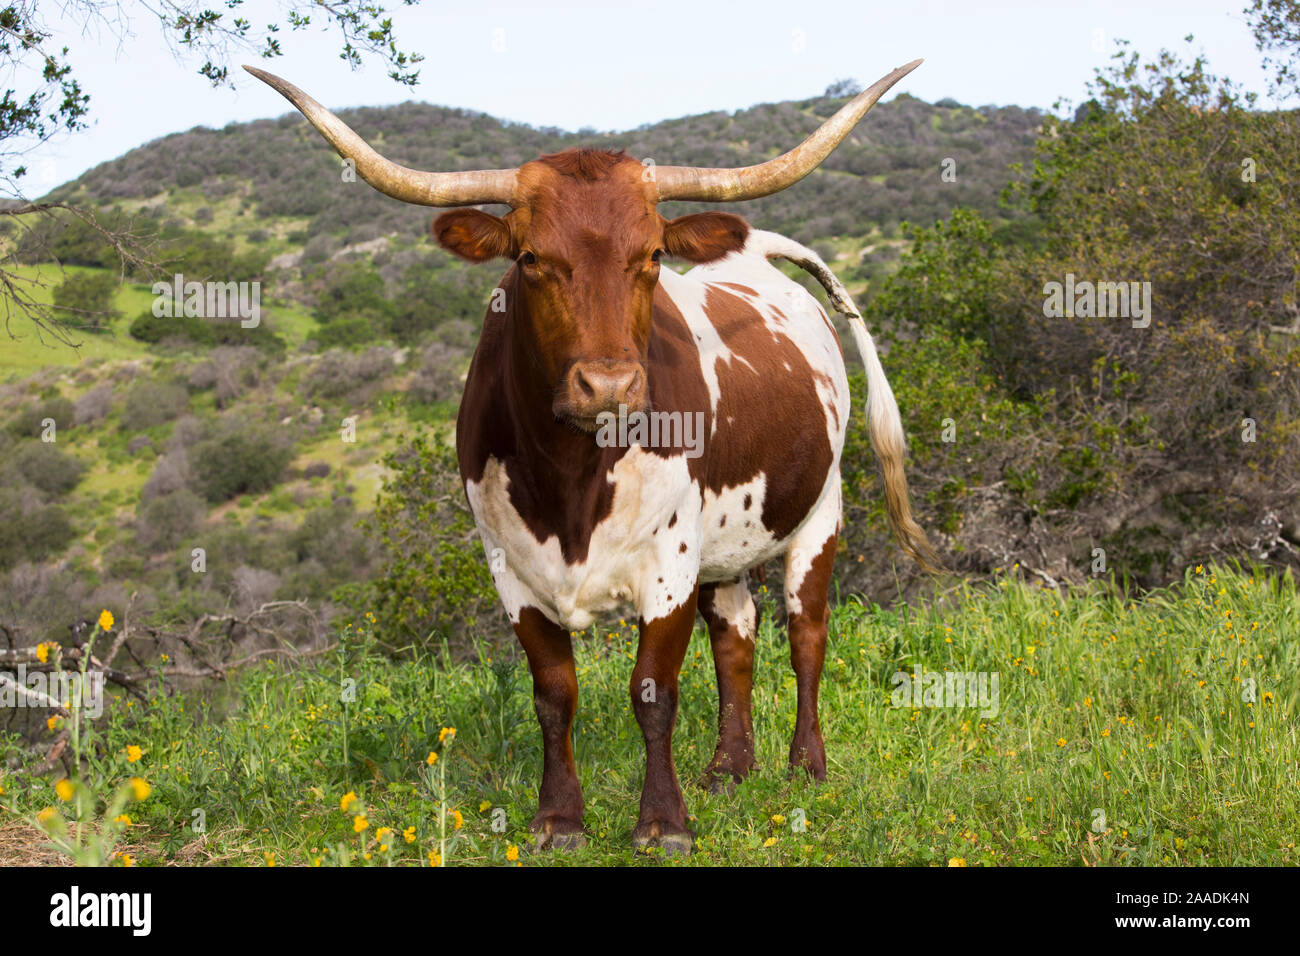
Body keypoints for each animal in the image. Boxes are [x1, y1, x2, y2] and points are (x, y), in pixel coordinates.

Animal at [249, 60, 936, 855]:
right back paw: (729, 769)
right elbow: (554, 694)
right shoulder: (511, 571)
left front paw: (663, 822)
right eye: (531, 258)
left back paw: (805, 766)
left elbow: (654, 693)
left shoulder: (669, 566)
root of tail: (756, 256)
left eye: (652, 256)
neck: (572, 475)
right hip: (727, 542)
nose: (608, 385)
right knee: (735, 633)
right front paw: (559, 819)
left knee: (806, 632)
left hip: (818, 513)